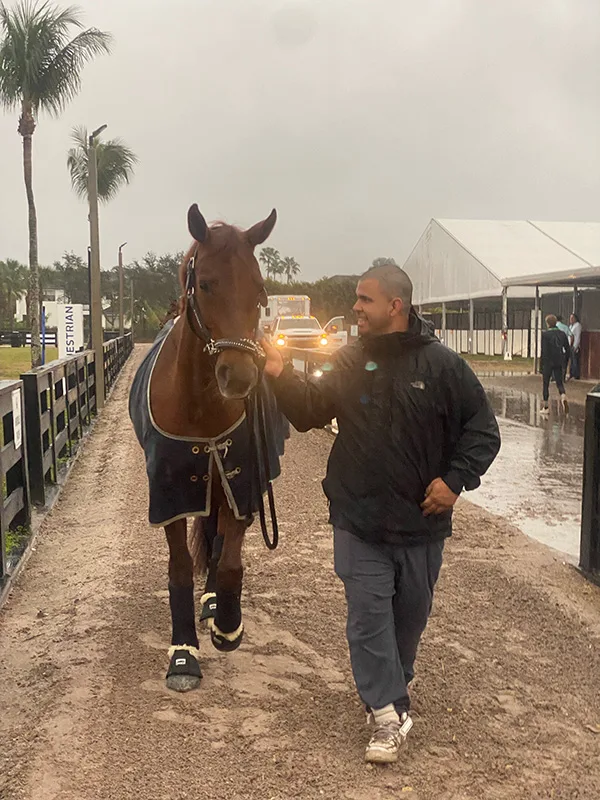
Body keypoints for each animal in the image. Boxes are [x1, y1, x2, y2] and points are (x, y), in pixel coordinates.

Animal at [129, 204, 288, 692]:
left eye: (260, 289)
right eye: (206, 284)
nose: (239, 378)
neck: (200, 406)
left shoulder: (243, 478)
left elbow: (231, 557)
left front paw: (227, 626)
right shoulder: (172, 492)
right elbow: (180, 566)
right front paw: (183, 652)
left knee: (218, 539)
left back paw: (216, 603)